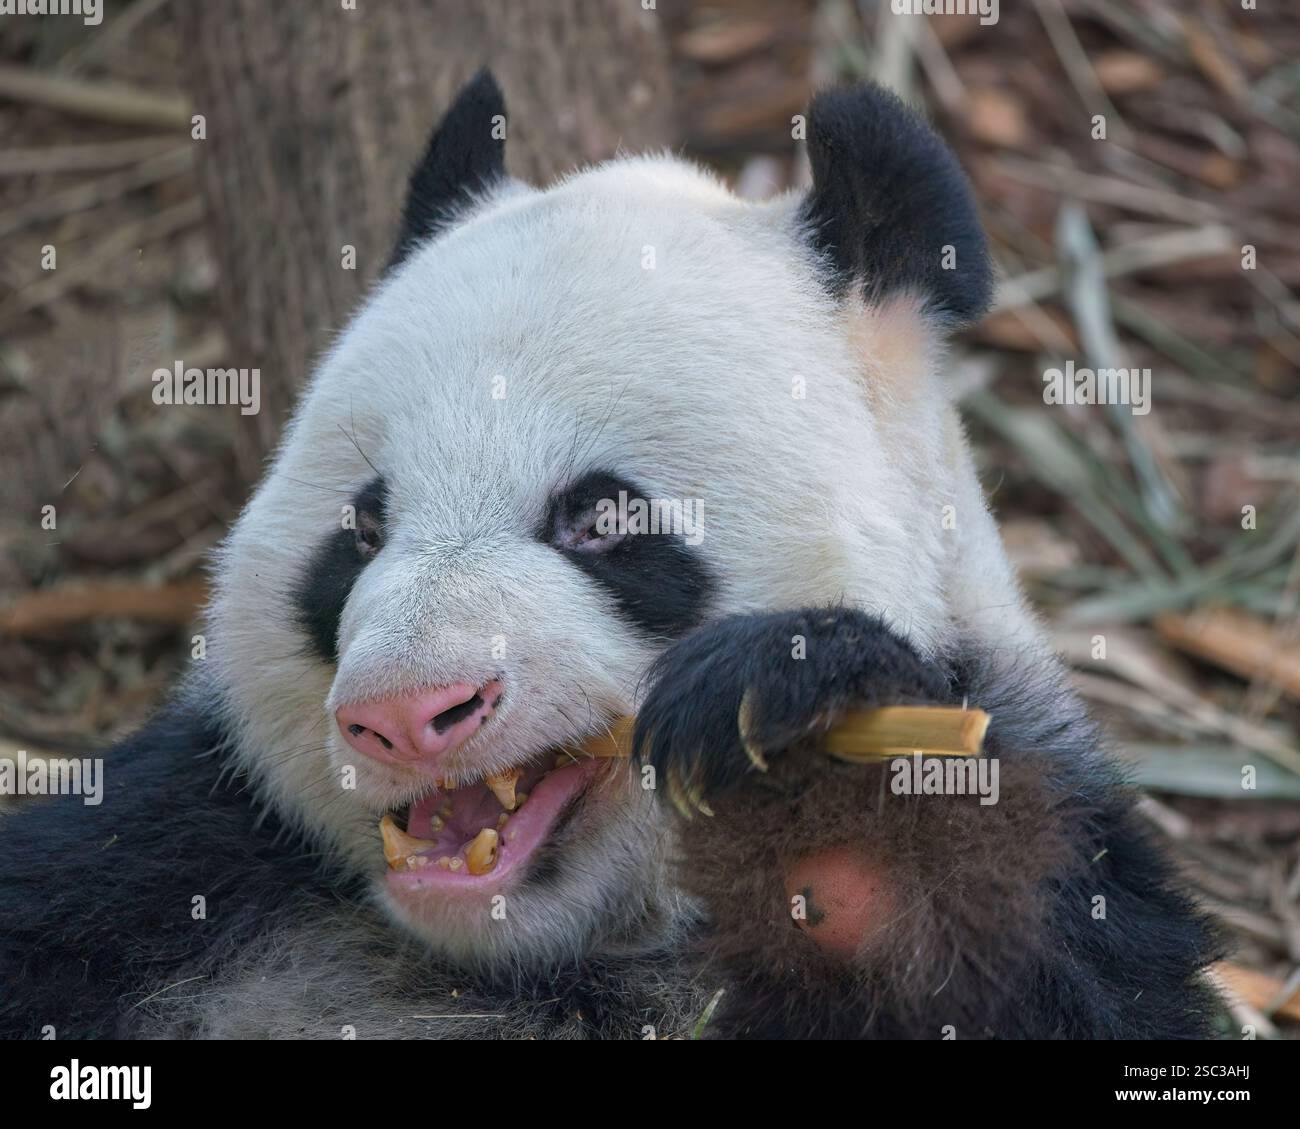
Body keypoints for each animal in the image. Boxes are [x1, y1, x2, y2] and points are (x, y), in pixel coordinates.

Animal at [0, 71, 1220, 1040]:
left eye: (600, 521)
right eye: (362, 532)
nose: (407, 713)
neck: (549, 956)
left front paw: (814, 771)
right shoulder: (177, 861)